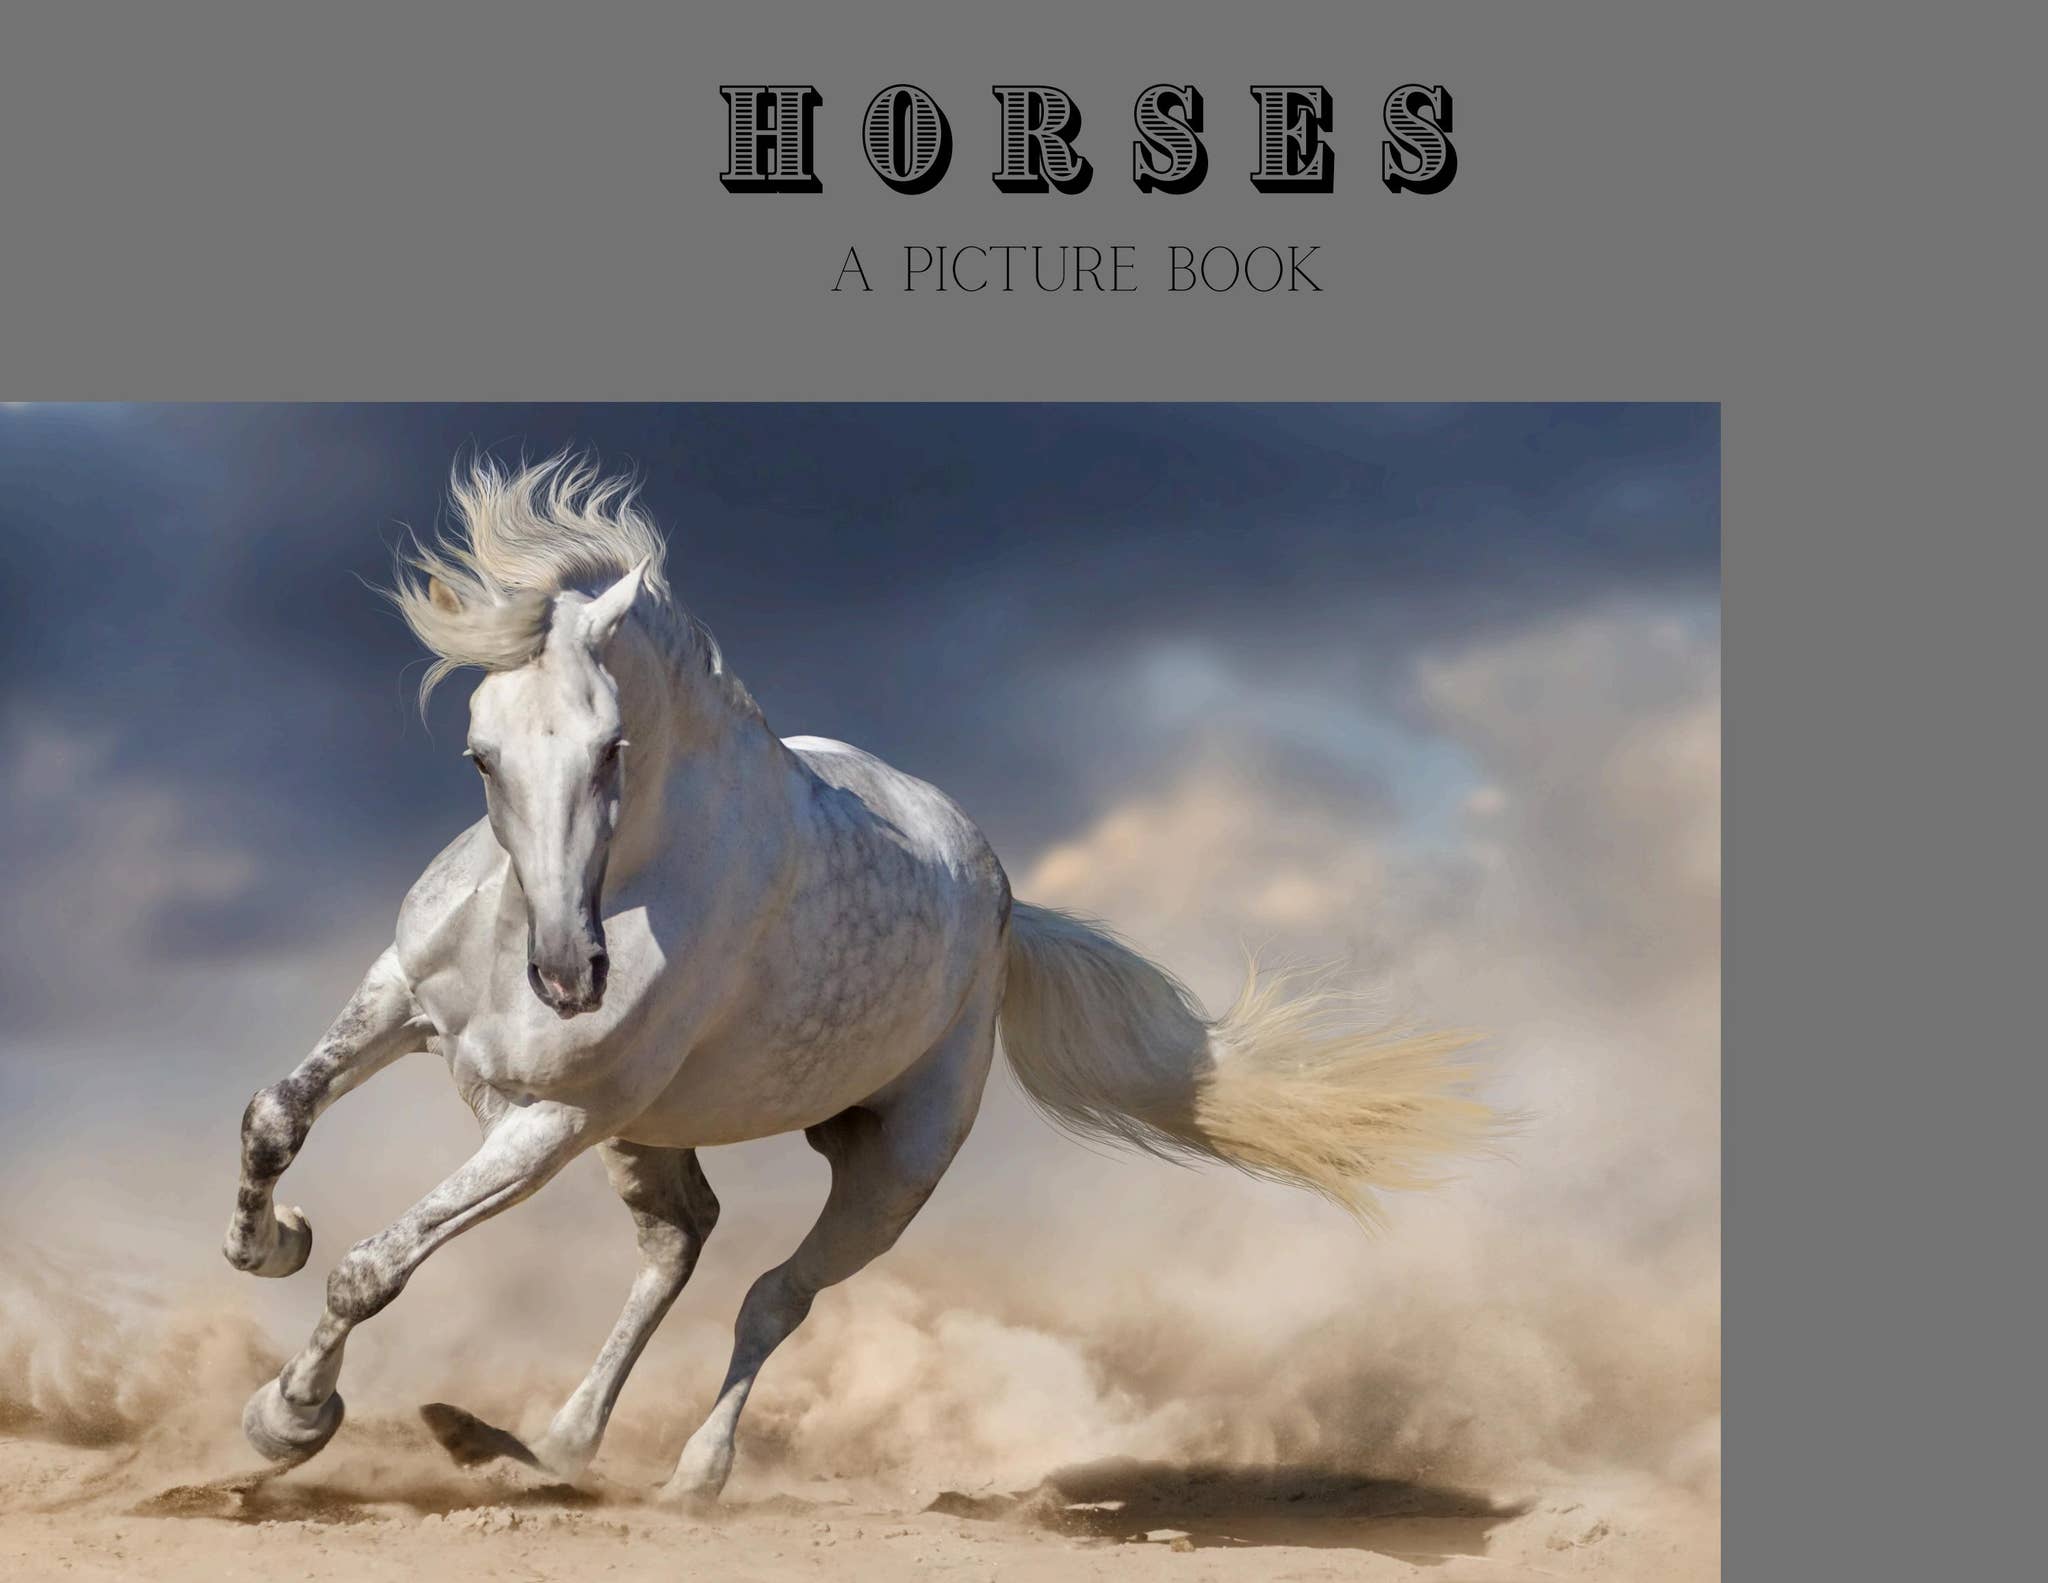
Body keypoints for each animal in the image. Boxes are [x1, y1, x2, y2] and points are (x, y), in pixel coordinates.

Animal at [221, 453, 1499, 1501]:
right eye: (479, 754)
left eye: (612, 747)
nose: (568, 977)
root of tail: (1000, 902)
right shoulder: (405, 1000)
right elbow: (277, 1114)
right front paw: (264, 1241)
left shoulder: (550, 1120)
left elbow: (373, 1267)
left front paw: (287, 1419)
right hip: (656, 1129)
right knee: (680, 1239)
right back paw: (545, 1443)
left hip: (887, 1166)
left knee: (769, 1292)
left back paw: (683, 1475)